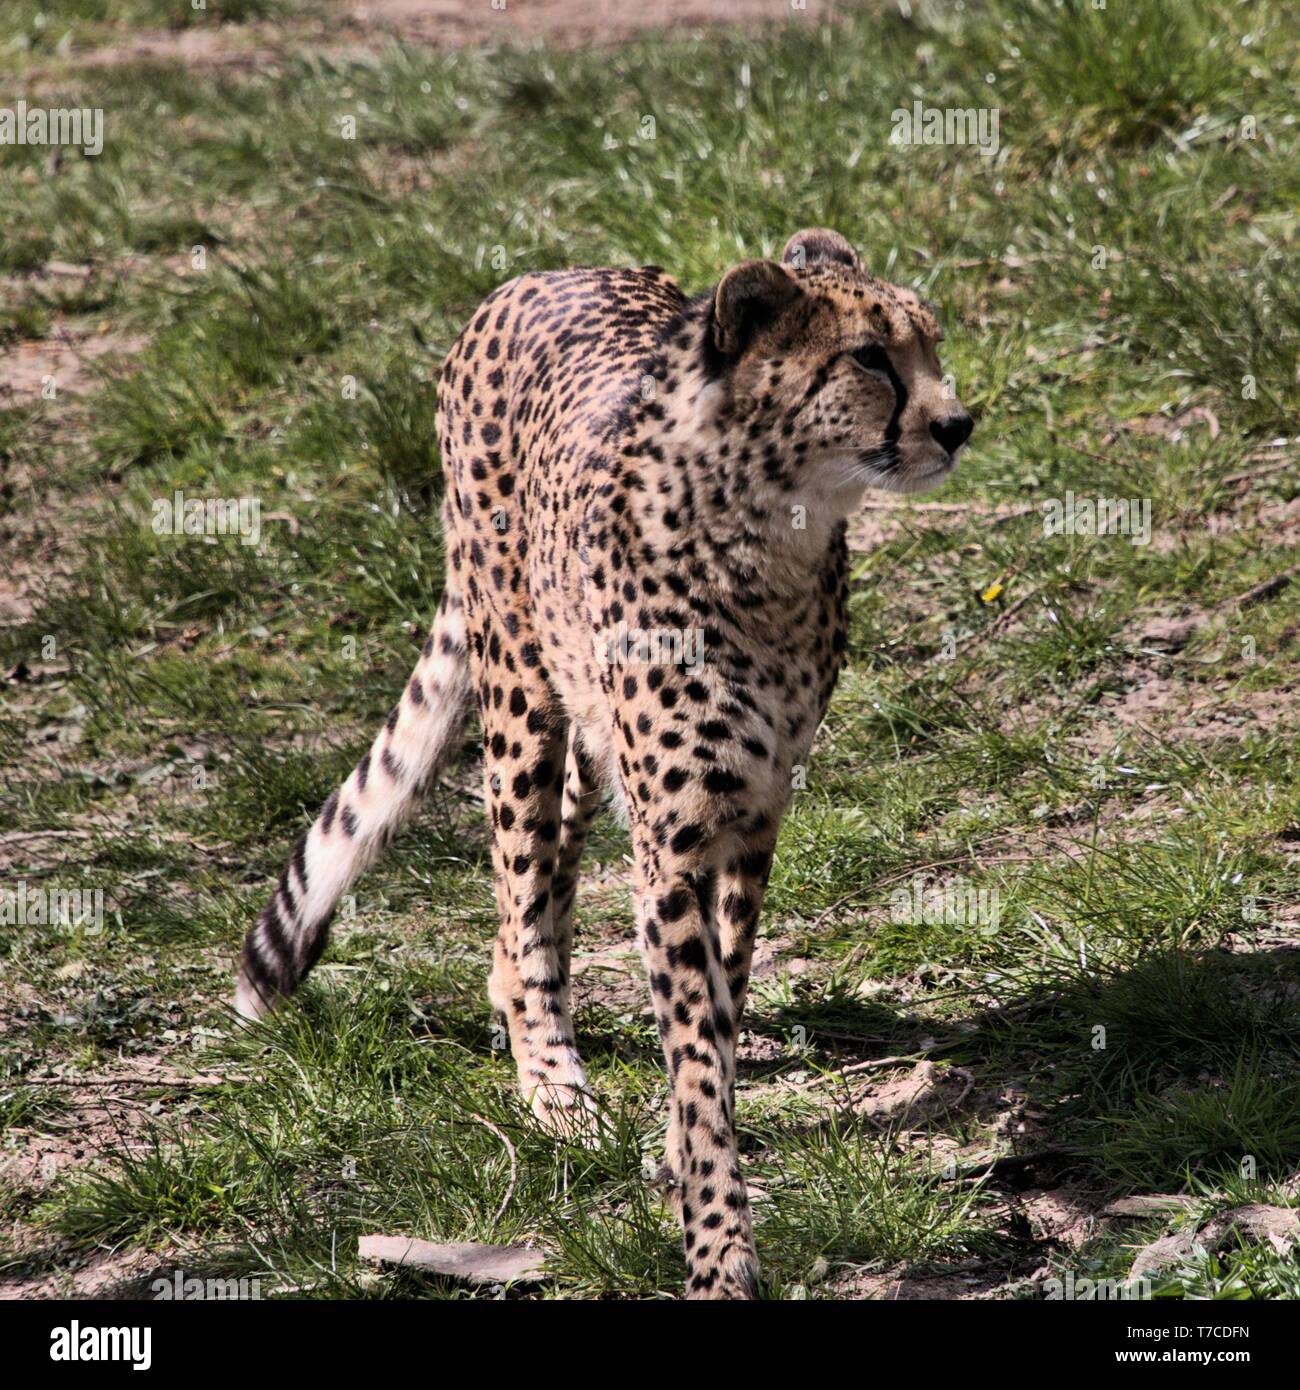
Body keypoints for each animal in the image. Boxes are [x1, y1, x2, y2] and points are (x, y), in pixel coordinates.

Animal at [235, 227, 972, 1299]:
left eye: (929, 342)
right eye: (870, 357)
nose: (958, 424)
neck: (773, 539)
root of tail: (542, 272)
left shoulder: (751, 816)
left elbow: (720, 1005)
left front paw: (686, 1151)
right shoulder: (676, 837)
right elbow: (695, 1045)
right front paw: (718, 1249)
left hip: (584, 718)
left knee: (551, 869)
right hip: (519, 698)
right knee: (522, 888)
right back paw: (551, 1082)